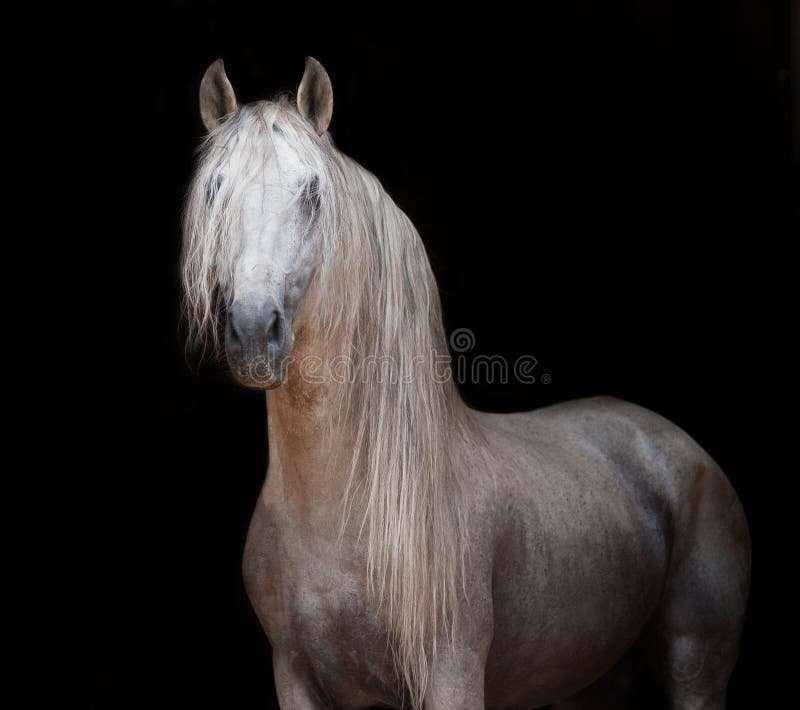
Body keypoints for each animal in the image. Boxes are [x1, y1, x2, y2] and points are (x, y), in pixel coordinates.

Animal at [181, 57, 751, 710]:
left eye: (312, 194)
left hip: (697, 667)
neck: (339, 511)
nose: (254, 329)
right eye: (215, 189)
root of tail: (678, 444)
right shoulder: (295, 675)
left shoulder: (451, 672)